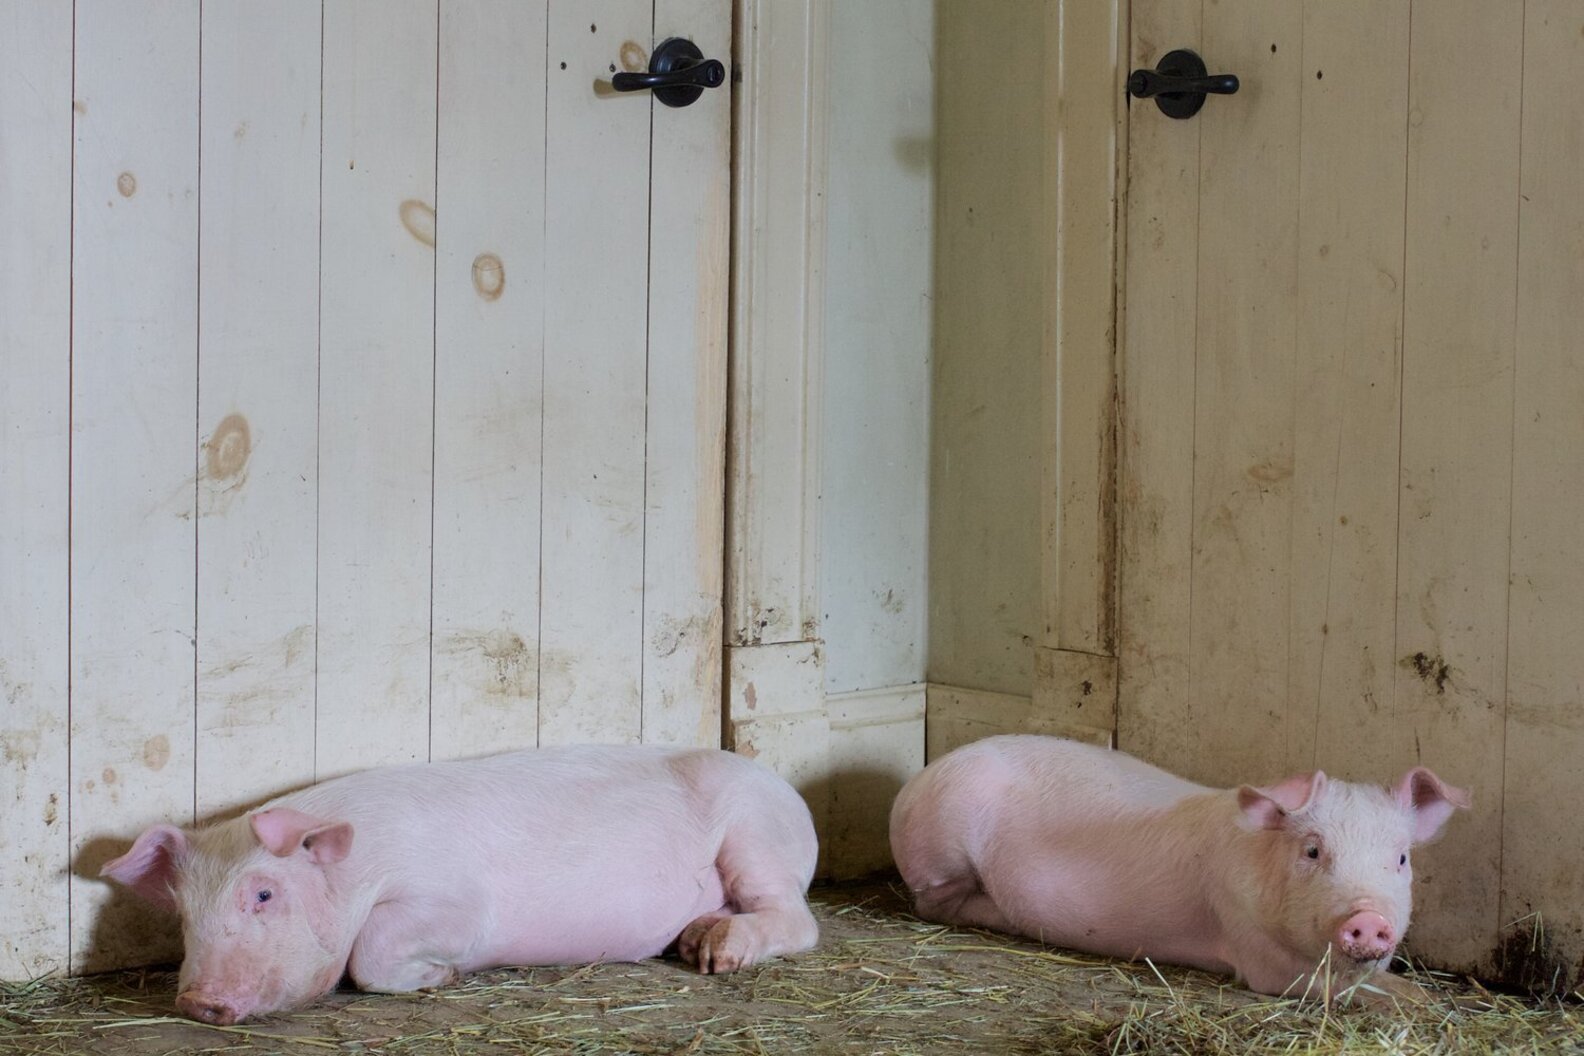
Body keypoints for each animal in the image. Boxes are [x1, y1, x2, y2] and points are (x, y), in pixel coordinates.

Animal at [101, 744, 819, 1024]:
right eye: (184, 914)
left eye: (263, 894)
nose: (197, 1002)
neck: (361, 870)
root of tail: (789, 792)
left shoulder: (457, 905)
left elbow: (372, 951)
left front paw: (441, 978)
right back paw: (695, 939)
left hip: (756, 836)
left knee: (799, 918)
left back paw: (716, 956)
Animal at [889, 735, 1470, 999]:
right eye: (1312, 851)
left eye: (1400, 858)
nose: (1369, 917)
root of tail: (919, 779)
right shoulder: (1253, 948)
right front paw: (1421, 1001)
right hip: (943, 854)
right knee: (934, 904)